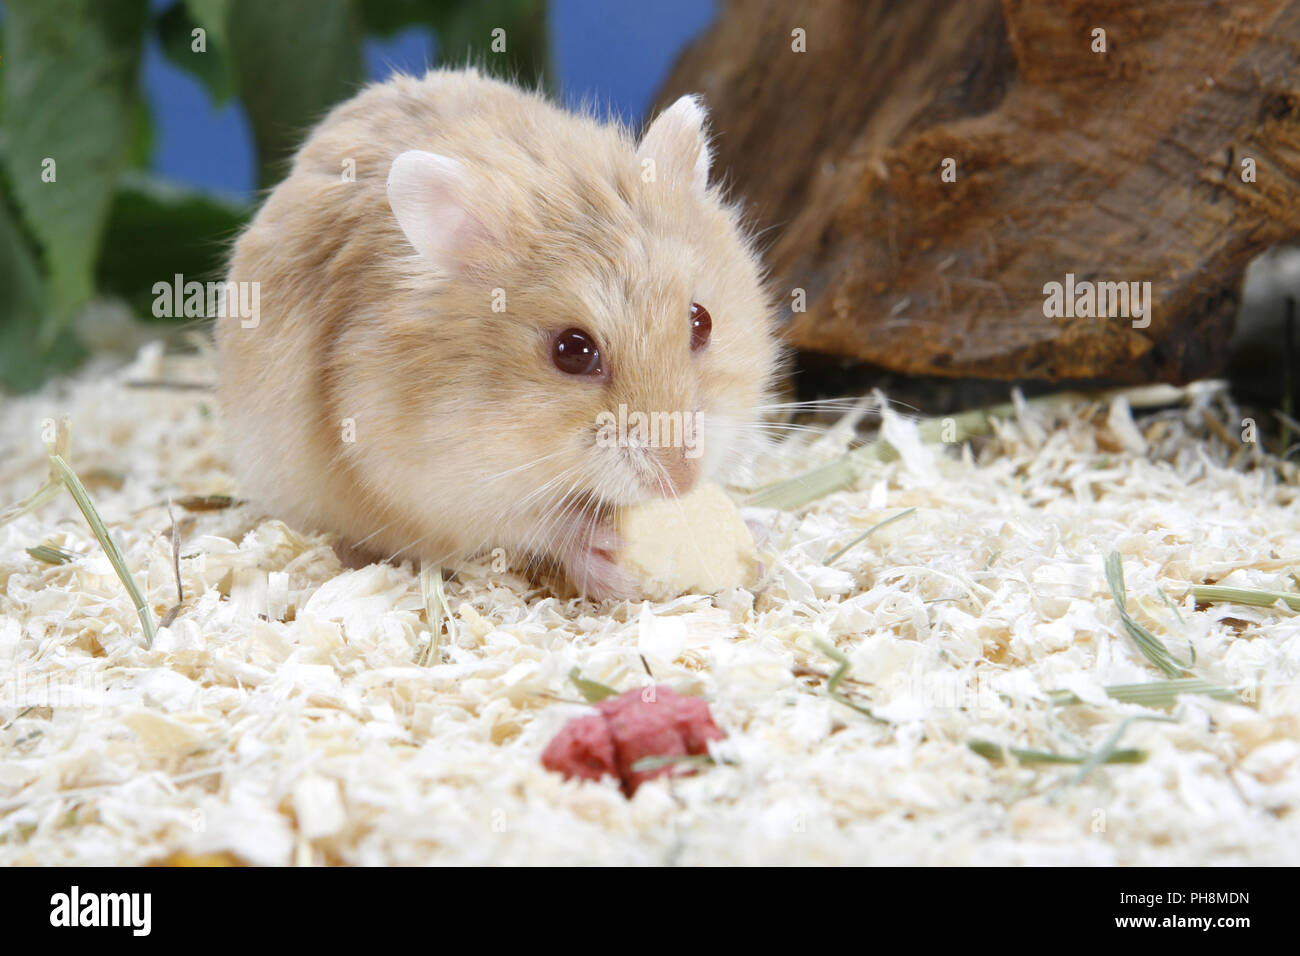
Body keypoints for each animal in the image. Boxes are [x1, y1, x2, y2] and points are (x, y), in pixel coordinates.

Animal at [216, 68, 779, 599]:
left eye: (701, 321)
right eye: (572, 351)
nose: (680, 481)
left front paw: (758, 536)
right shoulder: (432, 486)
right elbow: (540, 526)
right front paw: (606, 558)